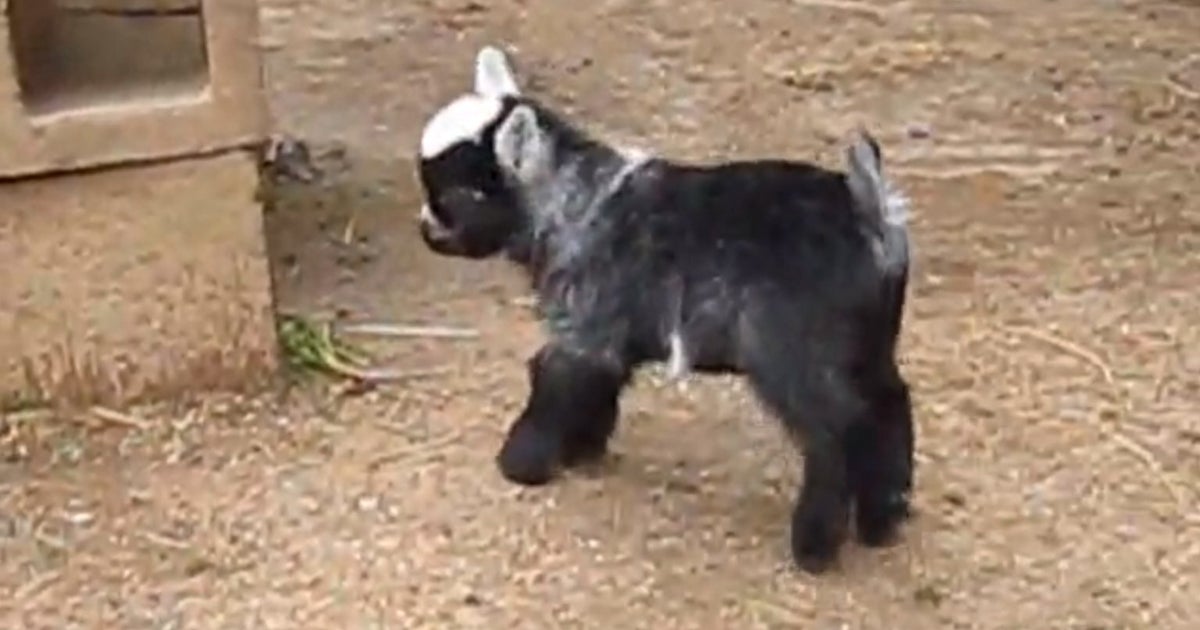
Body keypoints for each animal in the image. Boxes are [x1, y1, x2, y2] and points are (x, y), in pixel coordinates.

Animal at [414, 46, 914, 573]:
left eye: (456, 196)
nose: (425, 229)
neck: (577, 203)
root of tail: (870, 211)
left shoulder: (582, 329)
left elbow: (552, 383)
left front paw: (522, 463)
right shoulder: (610, 336)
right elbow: (598, 387)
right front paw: (583, 452)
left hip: (793, 354)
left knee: (833, 433)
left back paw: (815, 546)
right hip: (870, 346)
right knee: (889, 404)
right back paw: (883, 519)